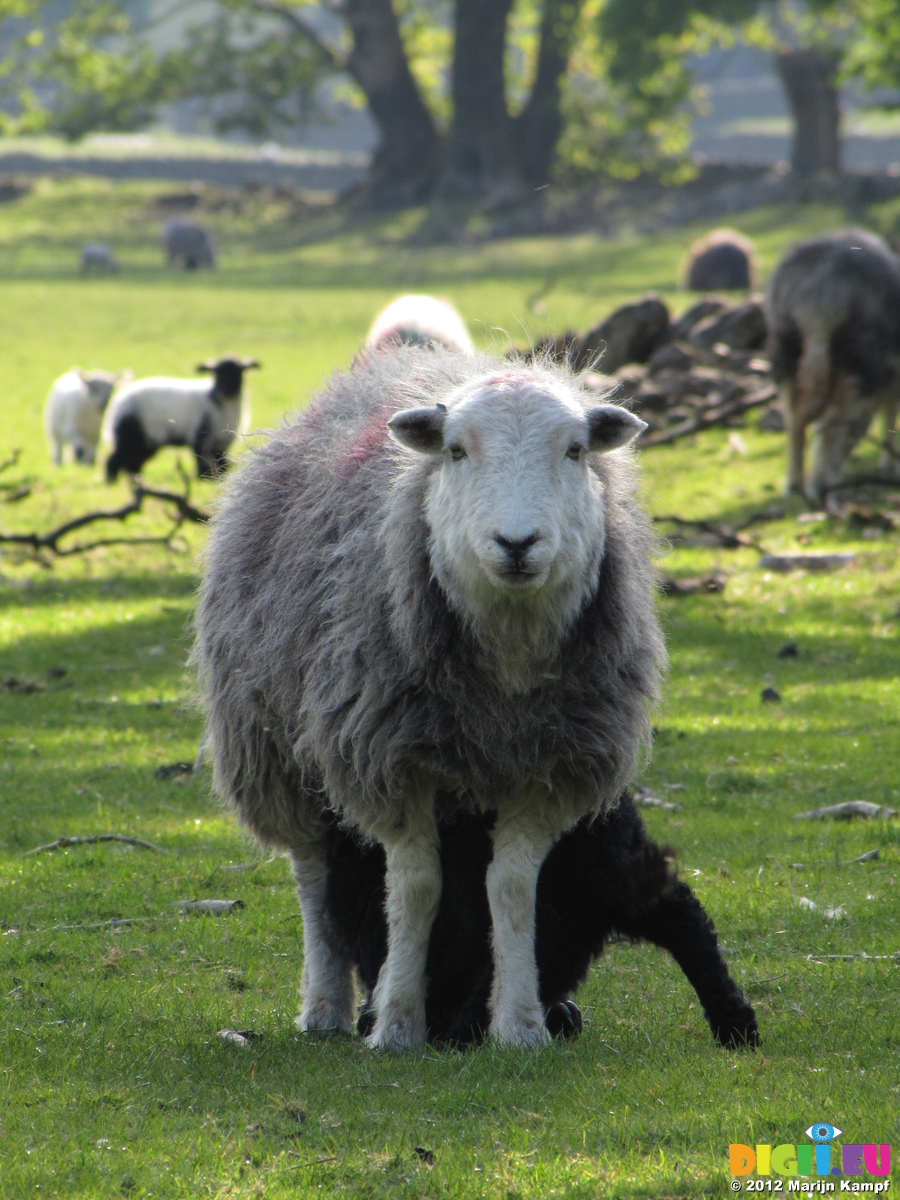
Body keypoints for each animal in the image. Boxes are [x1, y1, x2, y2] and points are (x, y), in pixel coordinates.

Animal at [105, 356, 260, 482]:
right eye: (216, 373)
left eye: (238, 372)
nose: (225, 391)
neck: (216, 402)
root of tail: (117, 403)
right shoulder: (199, 435)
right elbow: (201, 459)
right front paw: (203, 479)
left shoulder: (221, 441)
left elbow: (220, 462)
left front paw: (218, 480)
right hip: (129, 434)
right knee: (114, 460)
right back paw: (112, 483)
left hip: (146, 441)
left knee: (132, 463)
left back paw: (137, 482)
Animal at [193, 345, 666, 1051]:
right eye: (456, 450)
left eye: (576, 450)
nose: (517, 543)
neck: (508, 665)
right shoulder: (391, 759)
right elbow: (416, 889)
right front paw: (396, 1023)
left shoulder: (550, 771)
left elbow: (511, 888)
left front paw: (521, 1024)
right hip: (272, 750)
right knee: (314, 876)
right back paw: (325, 1007)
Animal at [766, 229, 900, 501]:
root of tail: (821, 293)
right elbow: (886, 418)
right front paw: (890, 466)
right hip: (858, 359)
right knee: (833, 422)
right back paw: (823, 485)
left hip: (786, 350)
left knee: (794, 420)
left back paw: (796, 486)